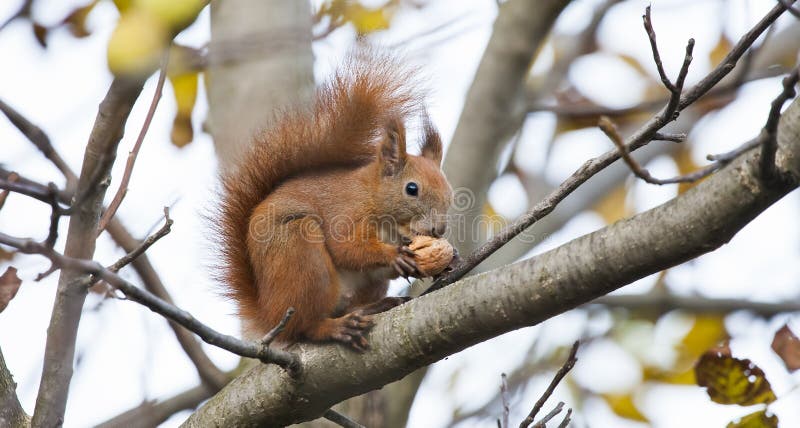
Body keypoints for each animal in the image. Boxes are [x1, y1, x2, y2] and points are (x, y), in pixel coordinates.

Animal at [216, 53, 453, 351]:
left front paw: (449, 258)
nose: (438, 230)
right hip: (301, 252)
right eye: (412, 189)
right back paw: (336, 327)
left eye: (450, 194)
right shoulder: (346, 212)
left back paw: (374, 307)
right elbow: (346, 248)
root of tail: (269, 314)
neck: (373, 199)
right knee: (306, 327)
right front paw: (393, 255)